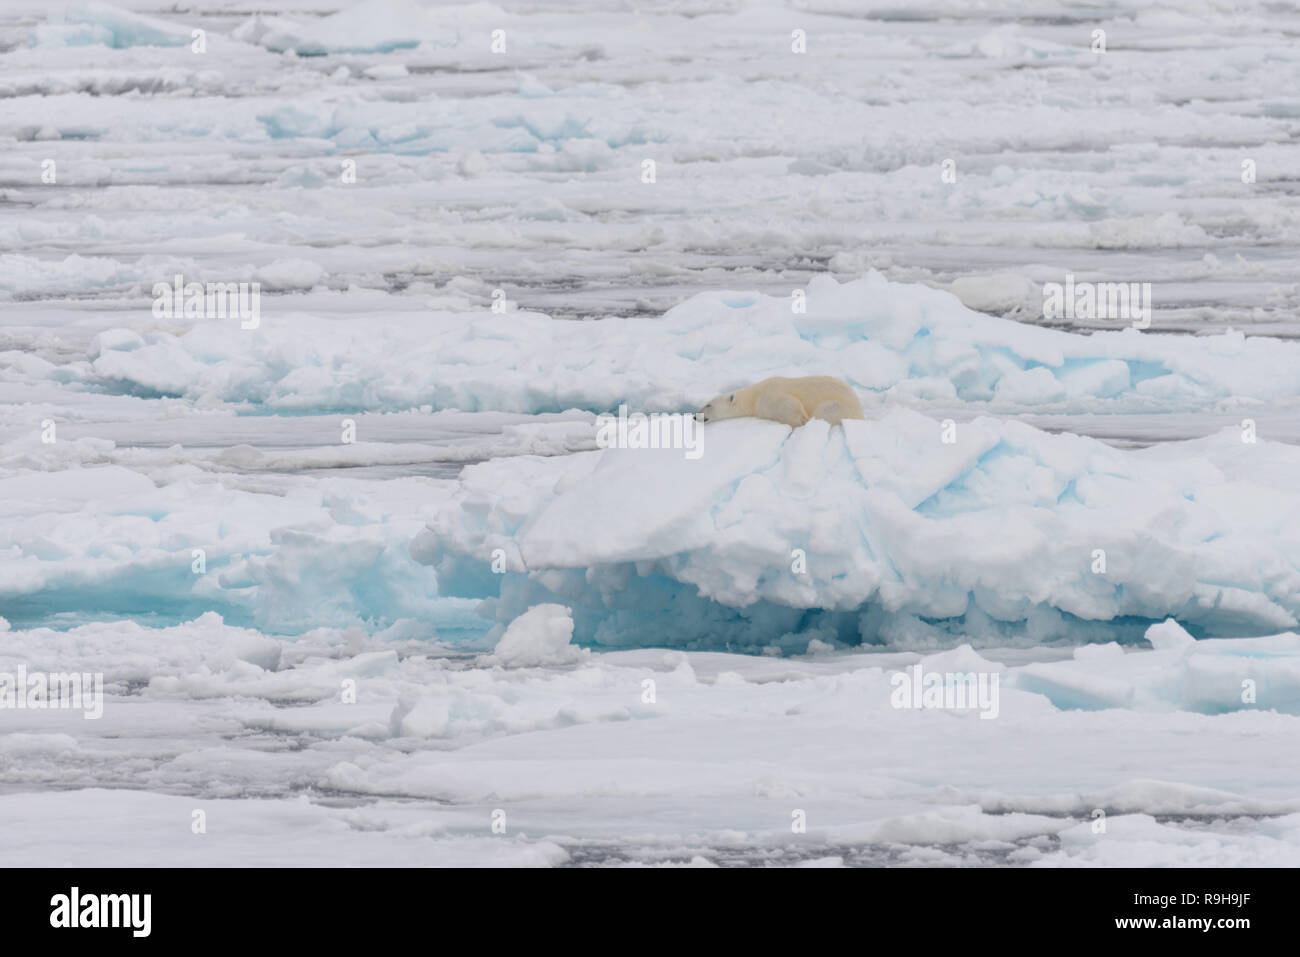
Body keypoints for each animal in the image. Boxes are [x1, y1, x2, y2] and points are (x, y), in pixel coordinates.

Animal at [694, 375, 865, 427]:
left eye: (708, 404)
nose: (695, 416)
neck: (753, 397)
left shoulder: (770, 396)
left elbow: (789, 403)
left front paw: (801, 419)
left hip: (840, 405)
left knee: (825, 410)